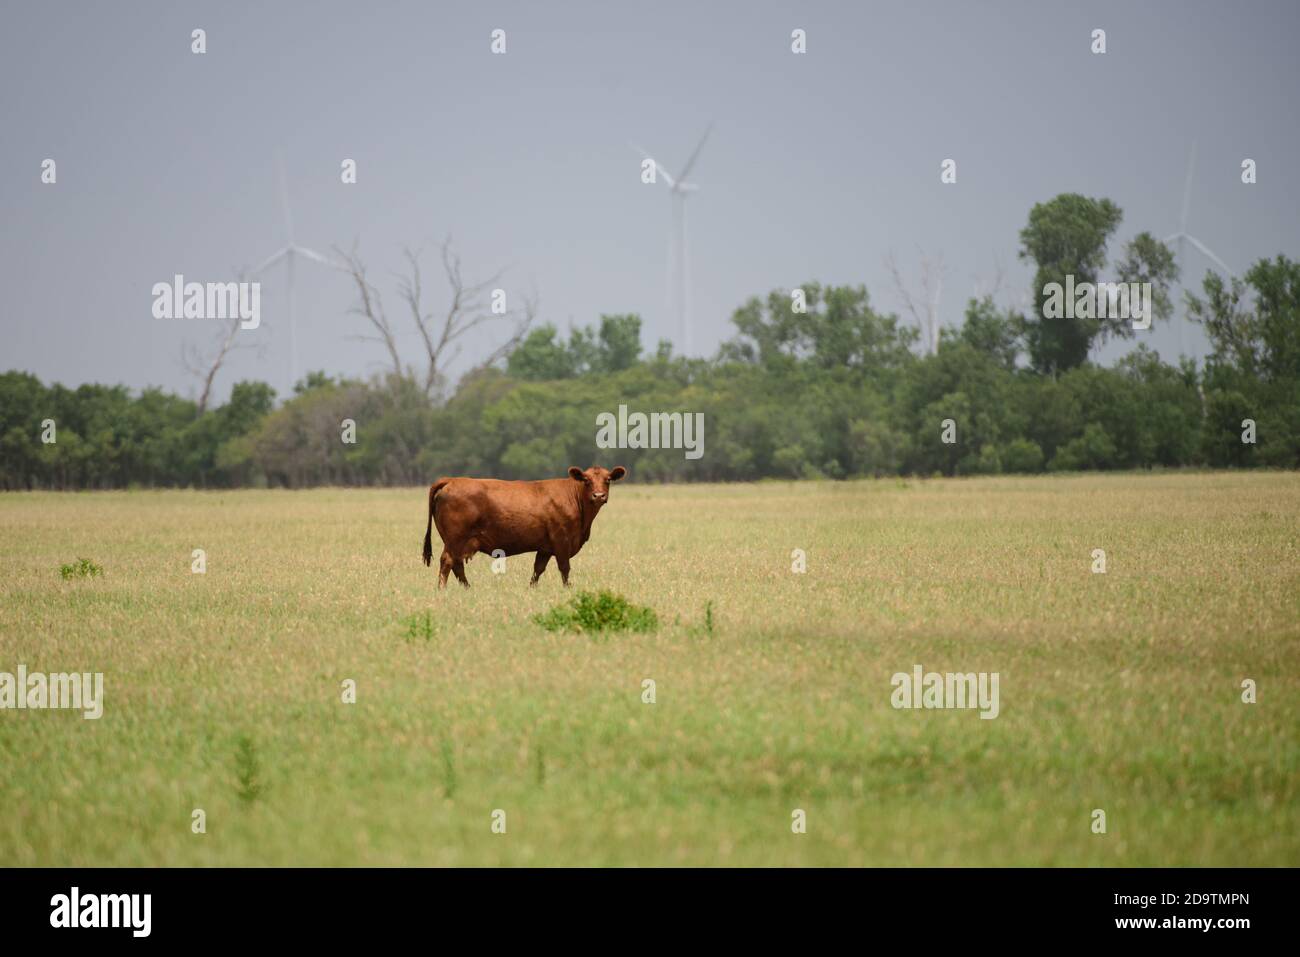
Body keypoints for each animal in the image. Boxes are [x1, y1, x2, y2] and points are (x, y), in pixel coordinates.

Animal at [422, 466, 627, 588]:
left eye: (608, 479)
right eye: (586, 480)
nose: (598, 496)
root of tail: (452, 480)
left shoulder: (545, 547)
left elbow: (538, 569)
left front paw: (532, 588)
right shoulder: (561, 540)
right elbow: (564, 568)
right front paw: (568, 589)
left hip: (458, 542)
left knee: (456, 566)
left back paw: (467, 589)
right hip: (455, 539)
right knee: (447, 562)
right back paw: (442, 589)